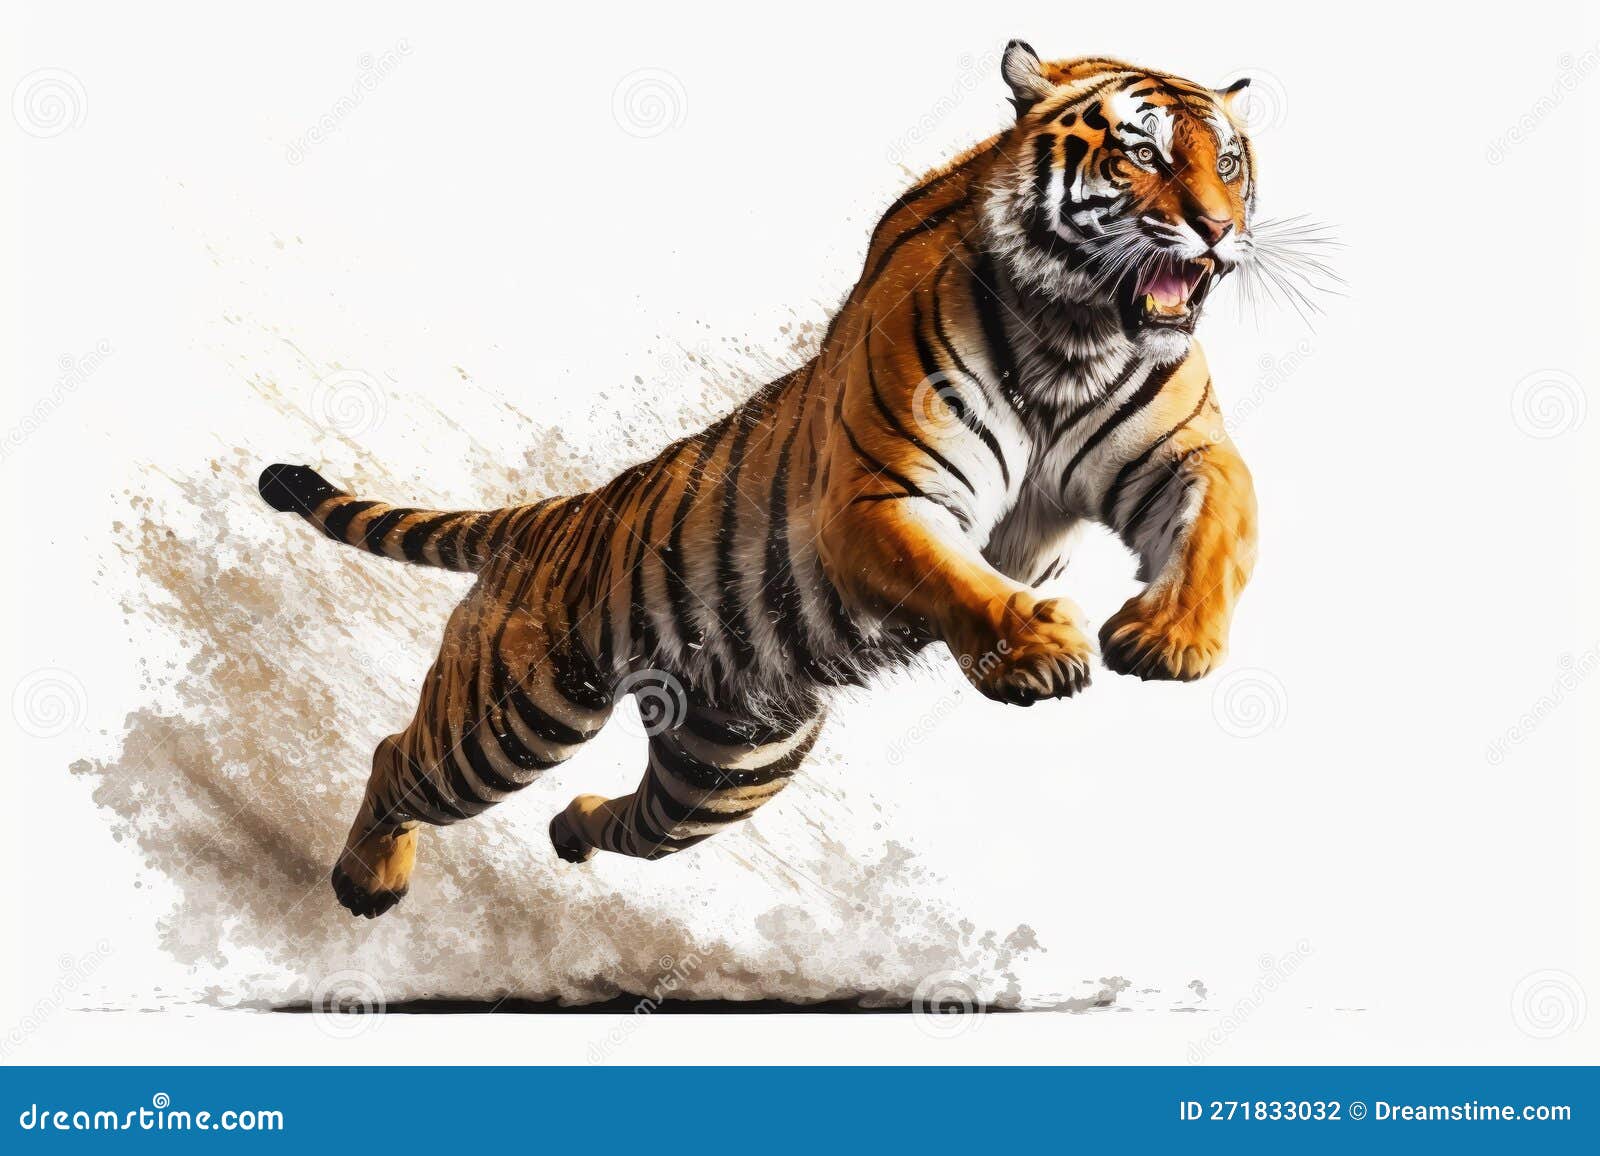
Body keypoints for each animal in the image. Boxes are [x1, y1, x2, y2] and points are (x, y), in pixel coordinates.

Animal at [259, 41, 1262, 918]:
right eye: (1142, 152)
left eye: (1230, 162)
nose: (1219, 231)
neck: (1078, 338)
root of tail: (564, 510)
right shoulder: (879, 497)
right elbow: (957, 577)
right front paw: (1037, 647)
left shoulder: (1183, 454)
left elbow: (1221, 526)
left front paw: (1171, 637)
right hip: (519, 711)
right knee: (399, 757)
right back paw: (366, 882)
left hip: (724, 770)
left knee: (637, 825)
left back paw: (569, 831)